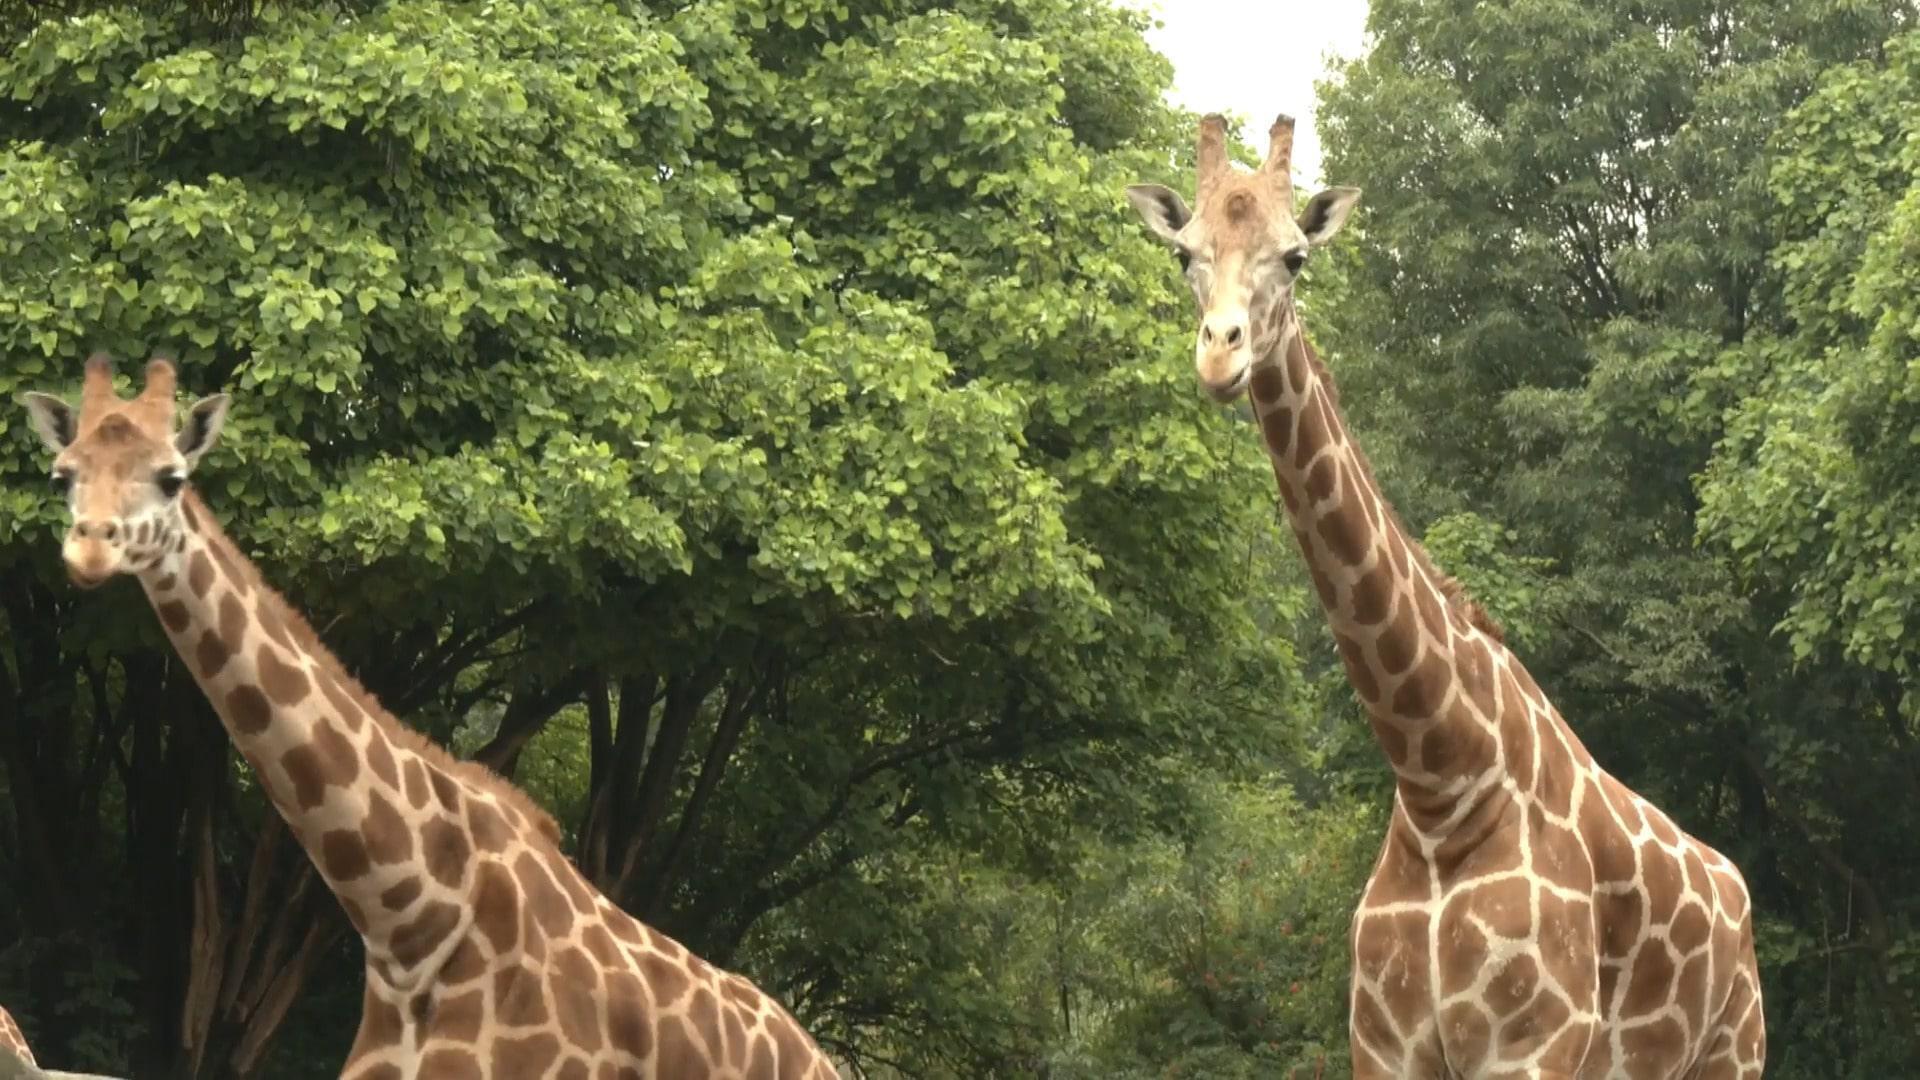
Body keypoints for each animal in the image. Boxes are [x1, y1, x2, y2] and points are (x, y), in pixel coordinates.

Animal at [1126, 115, 1766, 1079]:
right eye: (1184, 255)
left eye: (1295, 256)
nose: (1219, 353)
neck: (1441, 784)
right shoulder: (1383, 1049)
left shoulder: (1533, 1051)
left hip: (1736, 1050)